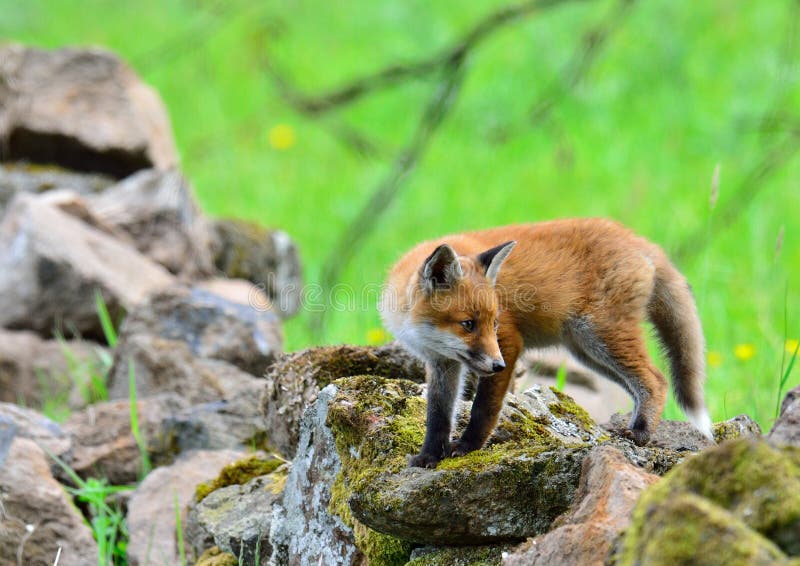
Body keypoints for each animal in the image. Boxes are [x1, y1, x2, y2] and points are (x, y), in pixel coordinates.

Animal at [379, 218, 713, 468]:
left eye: (494, 323)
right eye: (468, 324)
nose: (498, 365)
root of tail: (638, 240)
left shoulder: (509, 342)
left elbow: (483, 408)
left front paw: (468, 446)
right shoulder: (442, 362)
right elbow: (437, 414)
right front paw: (429, 456)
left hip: (600, 336)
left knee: (656, 380)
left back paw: (639, 432)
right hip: (585, 350)